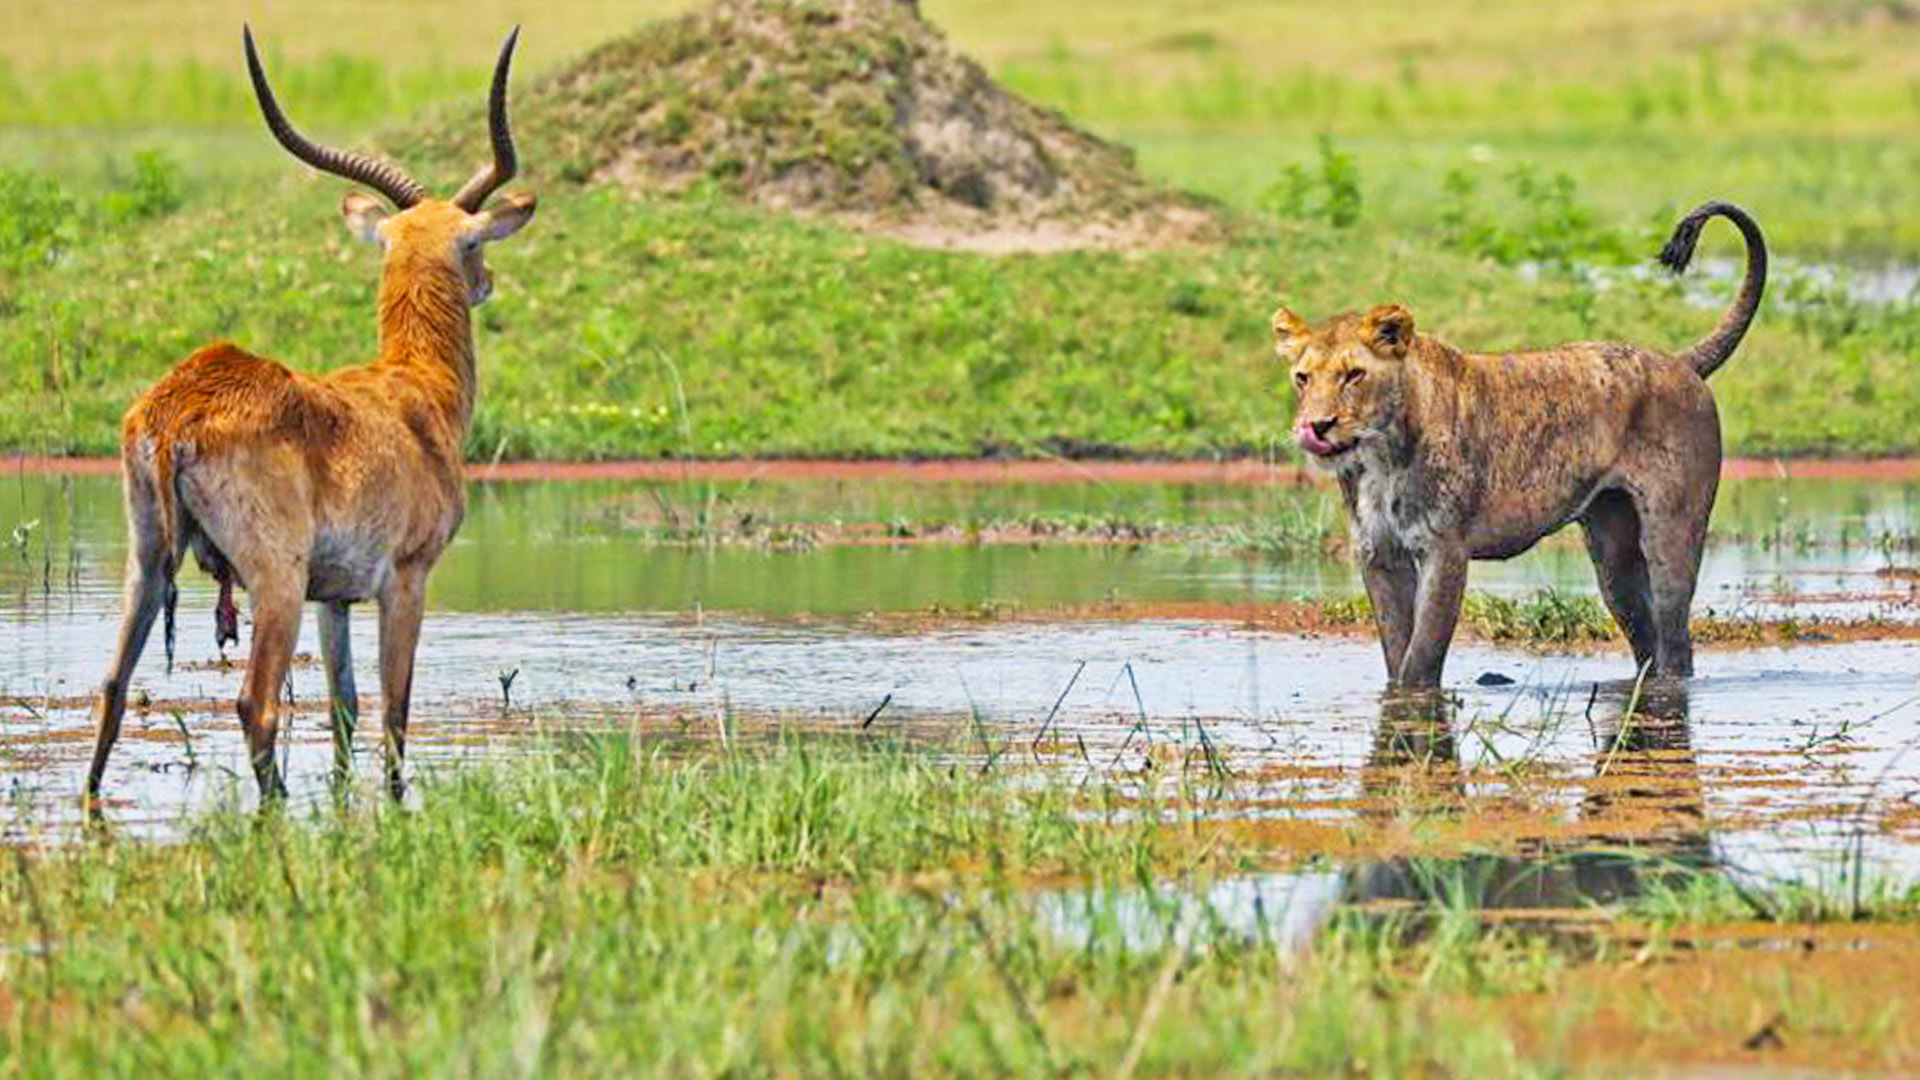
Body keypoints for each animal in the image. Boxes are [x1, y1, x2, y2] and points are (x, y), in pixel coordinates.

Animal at [86, 25, 537, 802]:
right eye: (474, 239)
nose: (487, 281)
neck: (418, 393)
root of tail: (179, 410)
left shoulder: (335, 597)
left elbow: (345, 706)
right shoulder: (405, 579)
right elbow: (394, 707)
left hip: (146, 559)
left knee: (114, 688)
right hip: (275, 579)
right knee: (255, 703)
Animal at [1275, 201, 1766, 688]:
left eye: (1354, 375)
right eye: (1303, 378)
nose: (1318, 425)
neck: (1378, 456)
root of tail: (1680, 362)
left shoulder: (1444, 550)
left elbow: (1421, 659)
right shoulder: (1379, 553)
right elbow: (1397, 655)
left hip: (1673, 531)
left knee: (1675, 637)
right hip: (1612, 551)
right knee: (1644, 633)